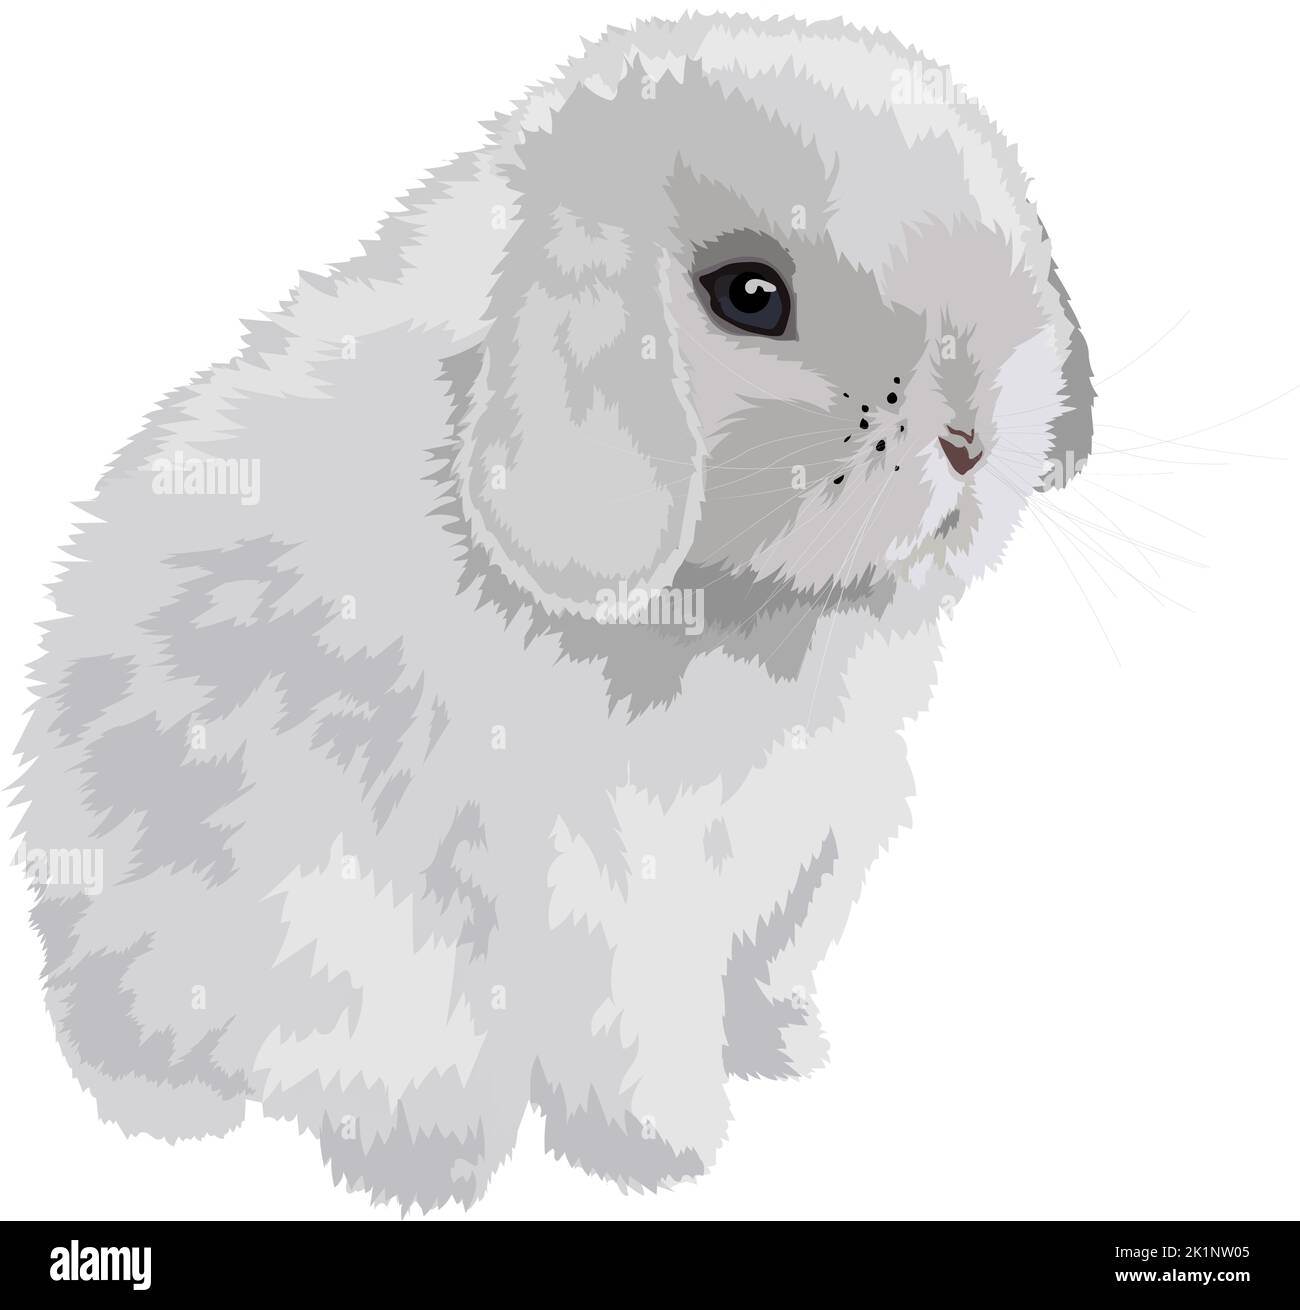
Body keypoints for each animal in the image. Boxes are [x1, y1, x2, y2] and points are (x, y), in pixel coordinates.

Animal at [14, 13, 1093, 1211]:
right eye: (749, 295)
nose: (972, 438)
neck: (745, 612)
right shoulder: (610, 891)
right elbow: (635, 1034)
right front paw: (671, 1156)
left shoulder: (803, 856)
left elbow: (757, 970)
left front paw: (782, 1046)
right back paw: (419, 1157)